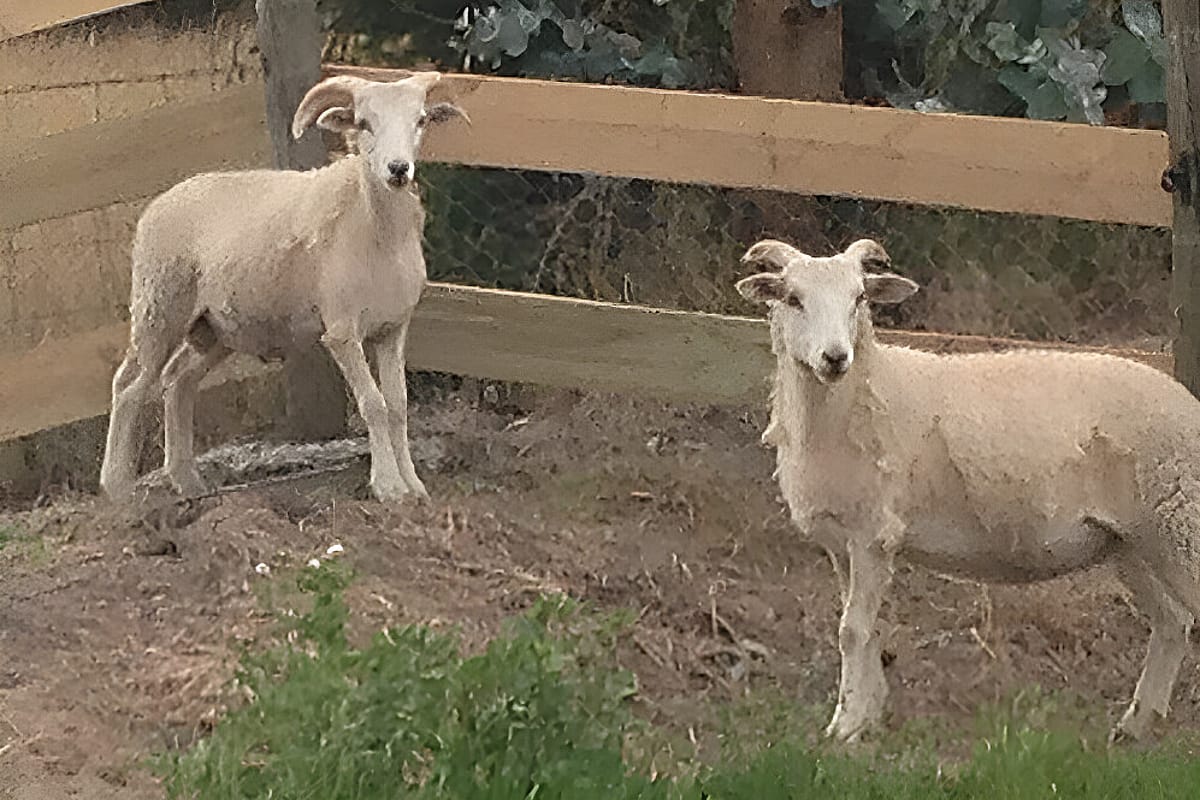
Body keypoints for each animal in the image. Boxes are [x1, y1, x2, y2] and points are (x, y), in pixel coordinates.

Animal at [98, 71, 468, 503]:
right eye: (363, 123)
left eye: (420, 120)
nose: (398, 169)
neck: (373, 225)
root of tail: (157, 204)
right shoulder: (342, 331)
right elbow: (373, 404)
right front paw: (388, 487)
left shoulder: (392, 330)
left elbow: (398, 406)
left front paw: (413, 485)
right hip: (159, 308)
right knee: (128, 386)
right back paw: (118, 488)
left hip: (215, 329)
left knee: (178, 380)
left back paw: (188, 482)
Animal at [735, 237, 1200, 744]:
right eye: (792, 299)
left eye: (859, 298)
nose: (836, 358)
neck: (863, 391)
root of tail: (1186, 400)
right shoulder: (843, 539)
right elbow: (863, 627)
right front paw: (868, 714)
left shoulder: (874, 533)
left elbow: (852, 630)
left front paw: (846, 726)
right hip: (1129, 544)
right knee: (1172, 622)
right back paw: (1135, 724)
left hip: (1180, 526)